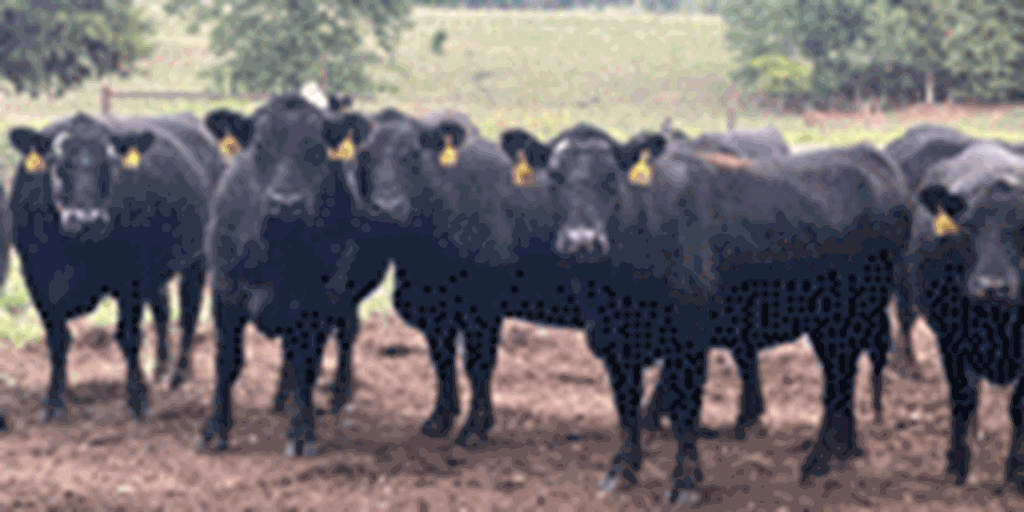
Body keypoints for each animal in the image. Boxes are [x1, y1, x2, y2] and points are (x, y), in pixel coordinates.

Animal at [7, 112, 218, 423]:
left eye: (111, 164)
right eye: (57, 163)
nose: (87, 219)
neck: (77, 251)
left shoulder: (130, 279)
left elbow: (129, 337)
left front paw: (138, 400)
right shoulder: (37, 280)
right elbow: (58, 340)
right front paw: (54, 402)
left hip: (197, 260)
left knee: (188, 314)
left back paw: (180, 376)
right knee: (163, 310)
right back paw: (160, 369)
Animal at [197, 92, 360, 456]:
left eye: (316, 149)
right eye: (259, 147)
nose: (285, 203)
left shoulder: (319, 302)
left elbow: (307, 366)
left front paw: (303, 432)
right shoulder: (224, 290)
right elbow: (226, 362)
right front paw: (214, 430)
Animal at [499, 124, 913, 505]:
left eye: (612, 178)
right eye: (555, 177)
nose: (582, 241)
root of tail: (868, 157)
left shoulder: (689, 341)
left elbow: (685, 412)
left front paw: (685, 484)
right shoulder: (613, 343)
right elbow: (625, 408)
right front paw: (621, 471)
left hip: (858, 308)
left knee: (840, 376)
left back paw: (819, 460)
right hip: (829, 318)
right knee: (840, 374)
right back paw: (838, 453)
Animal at [904, 141, 1024, 493]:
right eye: (968, 226)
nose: (993, 286)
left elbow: (1019, 406)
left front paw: (1016, 472)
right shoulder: (951, 340)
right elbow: (963, 398)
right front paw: (958, 464)